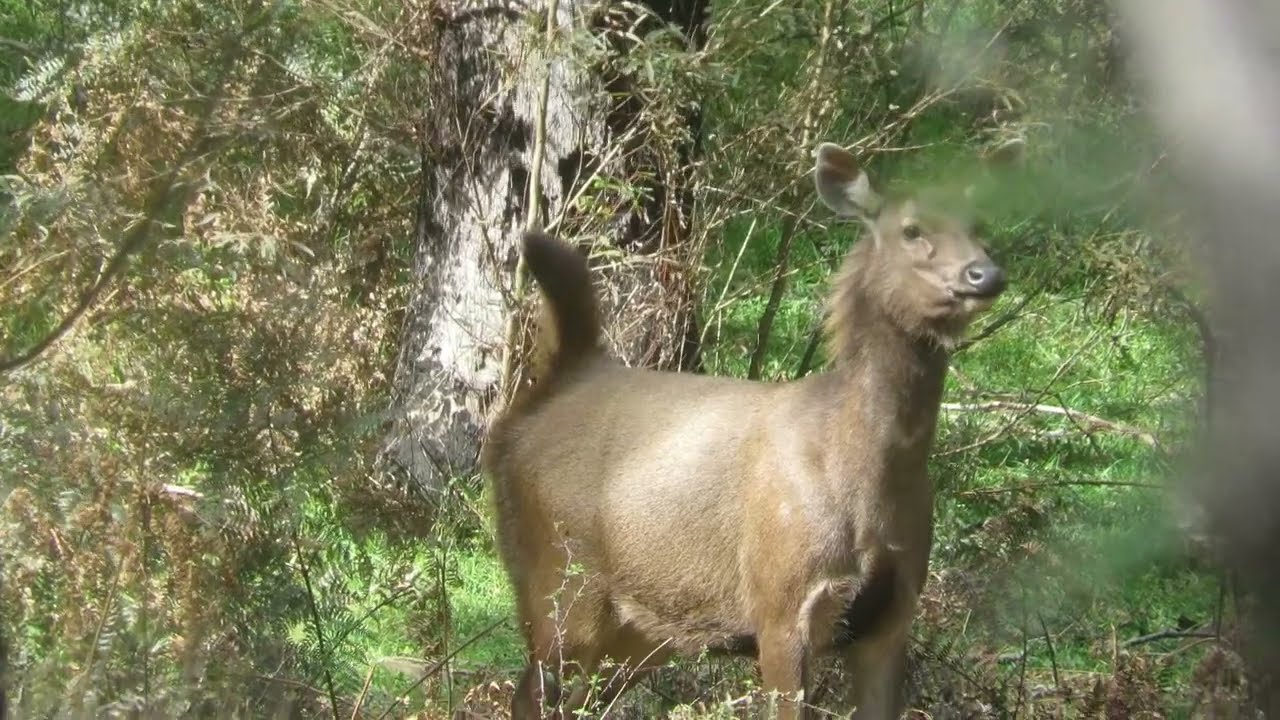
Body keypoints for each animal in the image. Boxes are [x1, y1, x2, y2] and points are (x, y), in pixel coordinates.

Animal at [481, 141, 1007, 720]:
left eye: (980, 224)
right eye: (911, 229)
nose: (986, 274)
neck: (864, 480)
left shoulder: (893, 614)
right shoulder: (779, 603)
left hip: (640, 629)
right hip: (559, 579)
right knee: (530, 692)